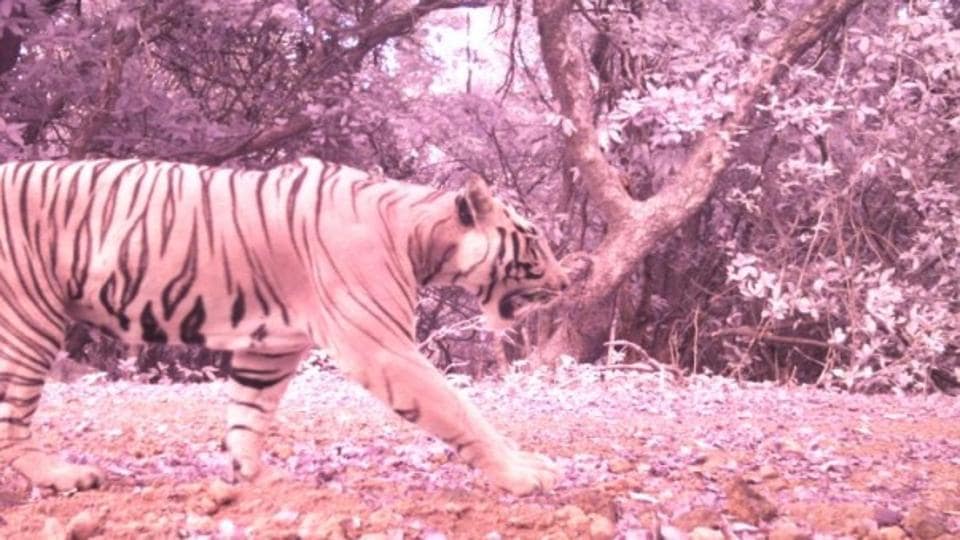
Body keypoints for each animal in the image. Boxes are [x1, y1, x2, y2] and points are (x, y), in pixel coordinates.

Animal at [0, 157, 569, 496]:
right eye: (536, 240)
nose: (567, 281)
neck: (420, 236)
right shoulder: (382, 346)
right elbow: (458, 408)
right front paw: (523, 473)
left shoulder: (270, 346)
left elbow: (249, 413)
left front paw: (257, 478)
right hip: (28, 320)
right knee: (13, 419)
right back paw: (61, 475)